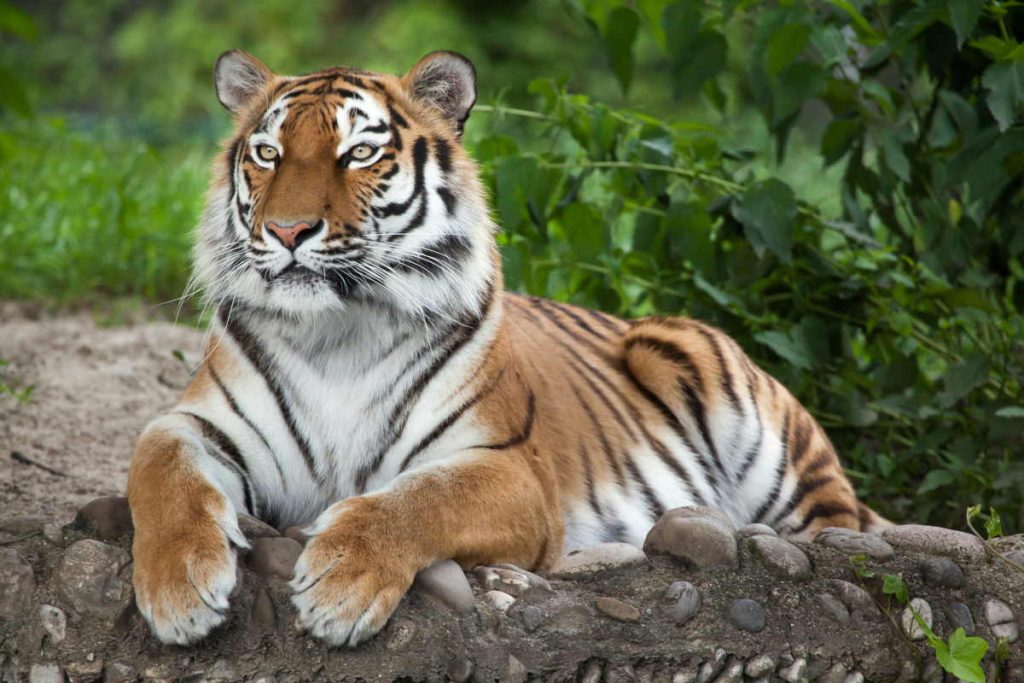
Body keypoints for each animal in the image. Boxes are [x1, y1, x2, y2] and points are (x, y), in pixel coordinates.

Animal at [127, 49, 888, 648]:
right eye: (268, 153)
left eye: (359, 153)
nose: (287, 231)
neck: (336, 331)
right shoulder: (201, 423)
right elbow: (159, 467)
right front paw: (179, 588)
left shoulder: (511, 468)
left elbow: (418, 498)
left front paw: (341, 582)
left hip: (716, 384)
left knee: (840, 525)